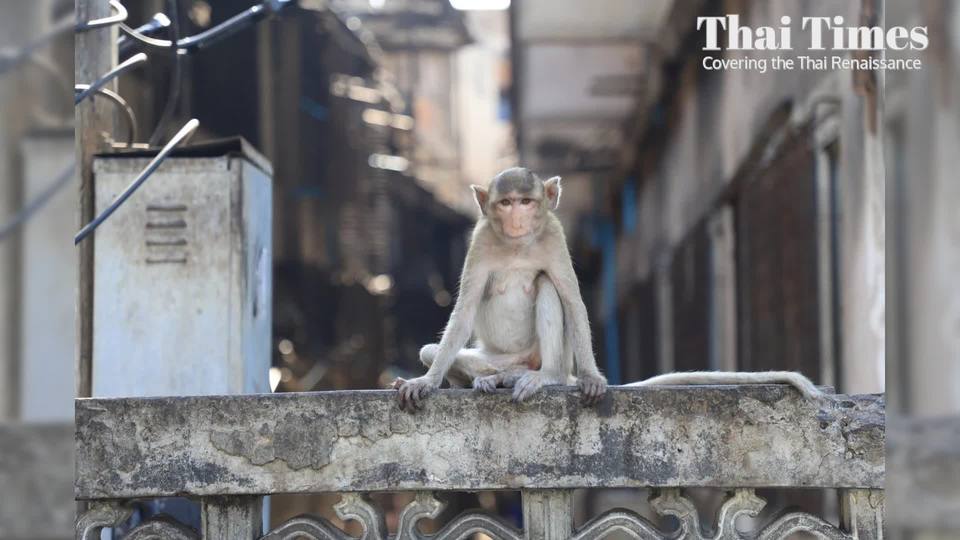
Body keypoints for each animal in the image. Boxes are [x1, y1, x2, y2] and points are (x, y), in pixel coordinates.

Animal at [393, 167, 607, 410]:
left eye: (525, 202)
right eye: (505, 203)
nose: (516, 220)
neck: (517, 245)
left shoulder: (554, 236)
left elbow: (573, 304)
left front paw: (590, 376)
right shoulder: (480, 239)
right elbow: (464, 312)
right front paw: (428, 380)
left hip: (550, 358)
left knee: (546, 283)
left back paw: (544, 375)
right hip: (498, 358)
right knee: (430, 351)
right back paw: (495, 377)